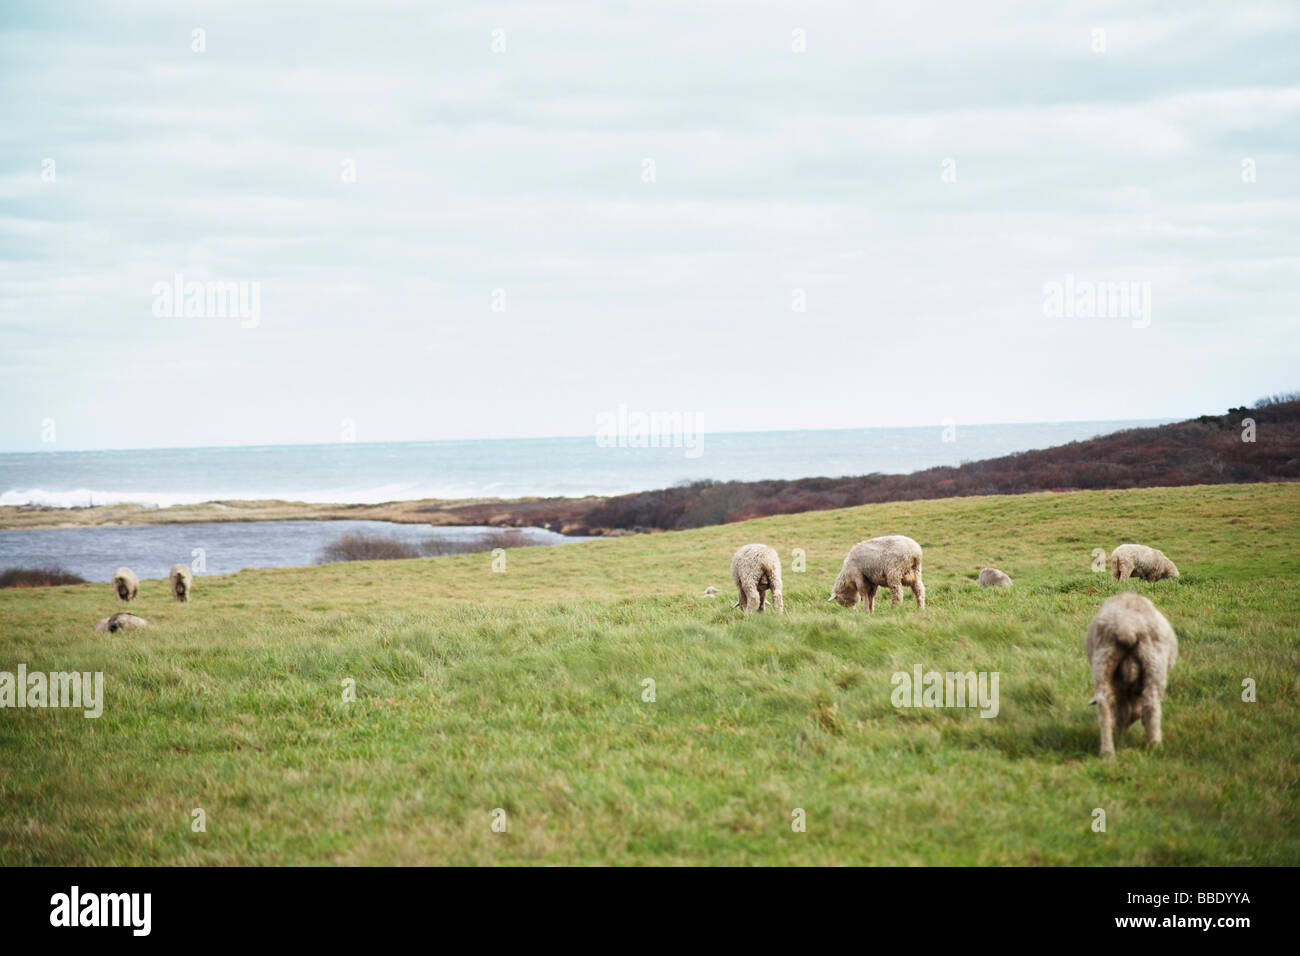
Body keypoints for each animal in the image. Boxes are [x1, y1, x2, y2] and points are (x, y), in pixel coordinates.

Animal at [1085, 592, 1178, 758]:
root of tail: (1127, 626)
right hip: (1155, 664)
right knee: (1151, 705)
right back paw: (1155, 746)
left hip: (1103, 662)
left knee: (1104, 706)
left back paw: (1107, 751)